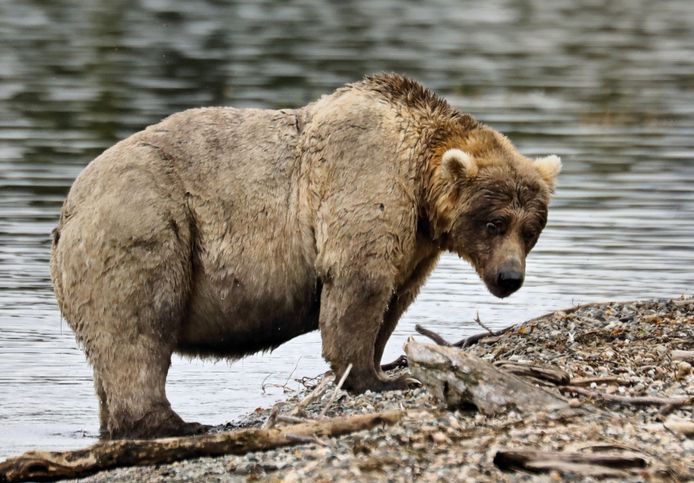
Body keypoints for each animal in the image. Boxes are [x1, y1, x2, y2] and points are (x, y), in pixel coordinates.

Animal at [50, 73, 561, 439]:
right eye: (494, 223)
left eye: (531, 228)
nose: (509, 277)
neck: (420, 186)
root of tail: (69, 208)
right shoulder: (366, 179)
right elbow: (359, 282)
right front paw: (376, 377)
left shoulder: (416, 245)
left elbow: (393, 298)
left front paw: (384, 364)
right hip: (145, 227)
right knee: (139, 329)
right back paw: (173, 423)